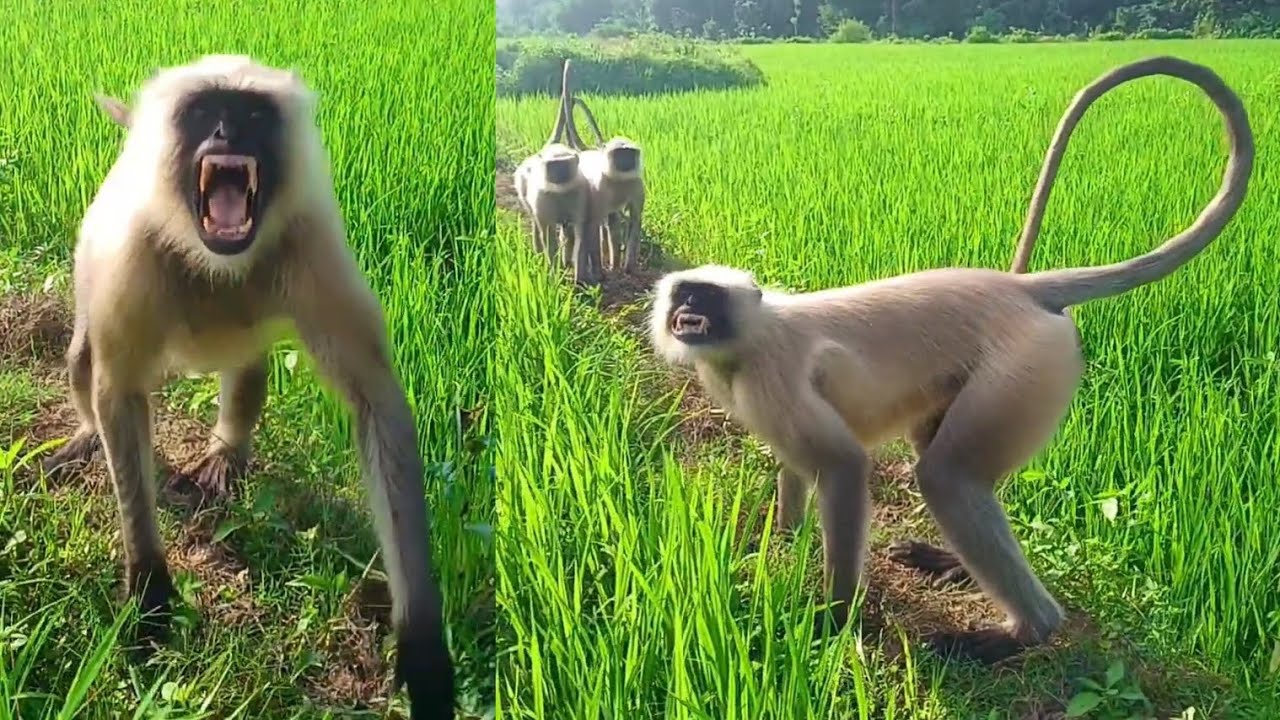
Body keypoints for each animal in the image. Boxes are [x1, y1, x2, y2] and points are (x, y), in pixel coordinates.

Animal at [36, 55, 456, 716]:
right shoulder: (133, 258)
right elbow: (119, 391)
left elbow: (377, 402)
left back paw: (227, 452)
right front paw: (149, 585)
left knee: (248, 366)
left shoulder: (311, 242)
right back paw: (85, 436)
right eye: (207, 110)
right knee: (85, 361)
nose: (227, 132)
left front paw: (421, 644)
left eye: (253, 113)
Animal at [512, 59, 600, 286]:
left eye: (565, 165)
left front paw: (580, 277)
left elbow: (580, 233)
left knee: (567, 232)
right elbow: (548, 235)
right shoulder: (543, 199)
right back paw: (539, 256)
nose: (558, 174)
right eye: (553, 166)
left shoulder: (579, 194)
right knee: (538, 227)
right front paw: (552, 276)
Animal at [563, 96, 645, 275]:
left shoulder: (637, 184)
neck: (619, 178)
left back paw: (613, 262)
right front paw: (599, 271)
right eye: (620, 153)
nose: (626, 161)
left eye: (629, 153)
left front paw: (628, 267)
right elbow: (594, 223)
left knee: (611, 223)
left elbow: (634, 219)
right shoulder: (600, 186)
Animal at [647, 56, 1253, 665]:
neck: (750, 335)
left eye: (706, 298)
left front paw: (834, 617)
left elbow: (842, 466)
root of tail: (1022, 289)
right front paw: (782, 541)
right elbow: (794, 469)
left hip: (1025, 368)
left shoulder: (770, 377)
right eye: (685, 295)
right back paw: (960, 569)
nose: (688, 313)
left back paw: (1021, 632)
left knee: (945, 476)